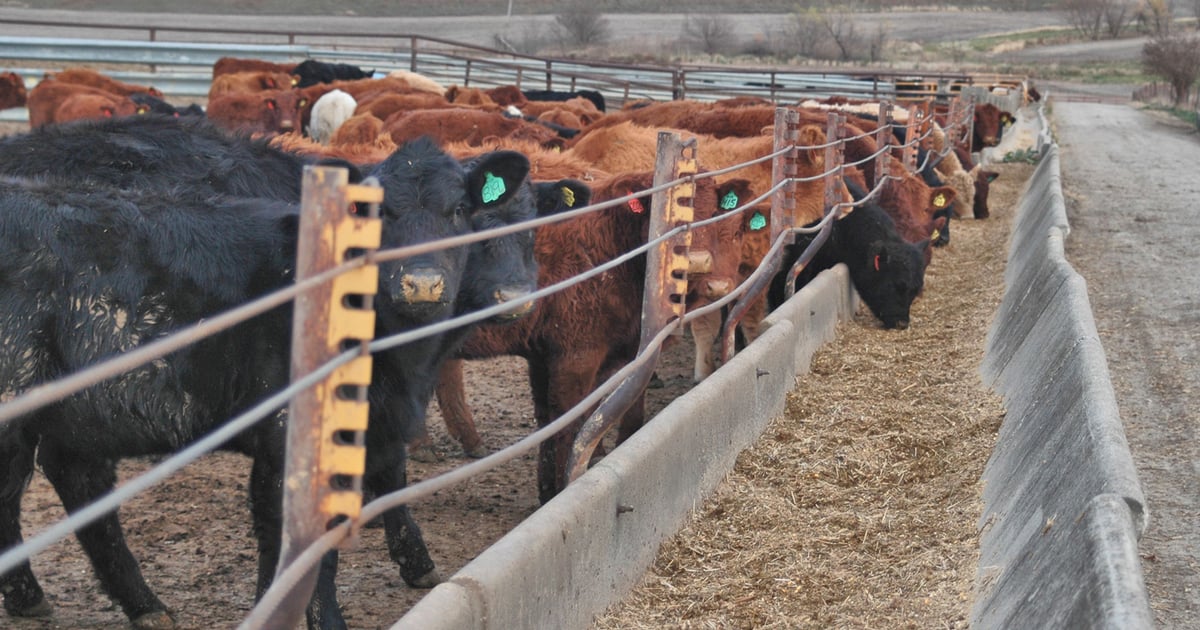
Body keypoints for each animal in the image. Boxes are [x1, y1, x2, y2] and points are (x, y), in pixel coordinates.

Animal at [0, 137, 553, 630]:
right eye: (377, 213)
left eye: (459, 209)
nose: (421, 284)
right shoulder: (288, 434)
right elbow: (298, 543)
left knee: (77, 482)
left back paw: (139, 605)